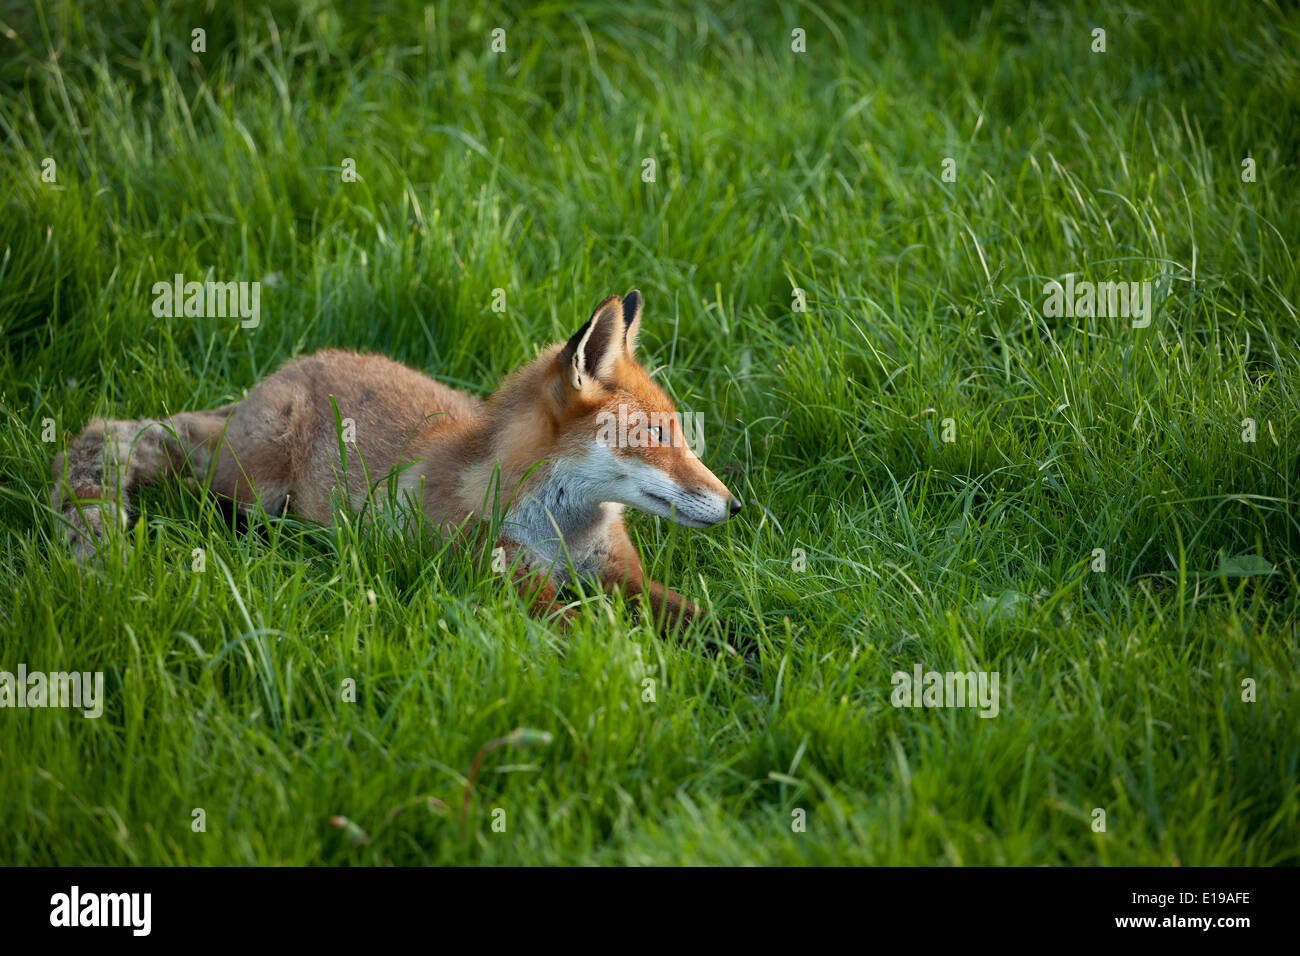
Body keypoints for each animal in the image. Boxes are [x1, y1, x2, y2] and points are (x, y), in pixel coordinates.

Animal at [51, 290, 745, 646]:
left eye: (680, 433)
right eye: (655, 436)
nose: (735, 505)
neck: (560, 534)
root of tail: (266, 381)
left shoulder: (618, 573)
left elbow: (710, 624)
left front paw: (749, 659)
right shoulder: (514, 584)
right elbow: (602, 638)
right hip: (259, 482)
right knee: (215, 506)